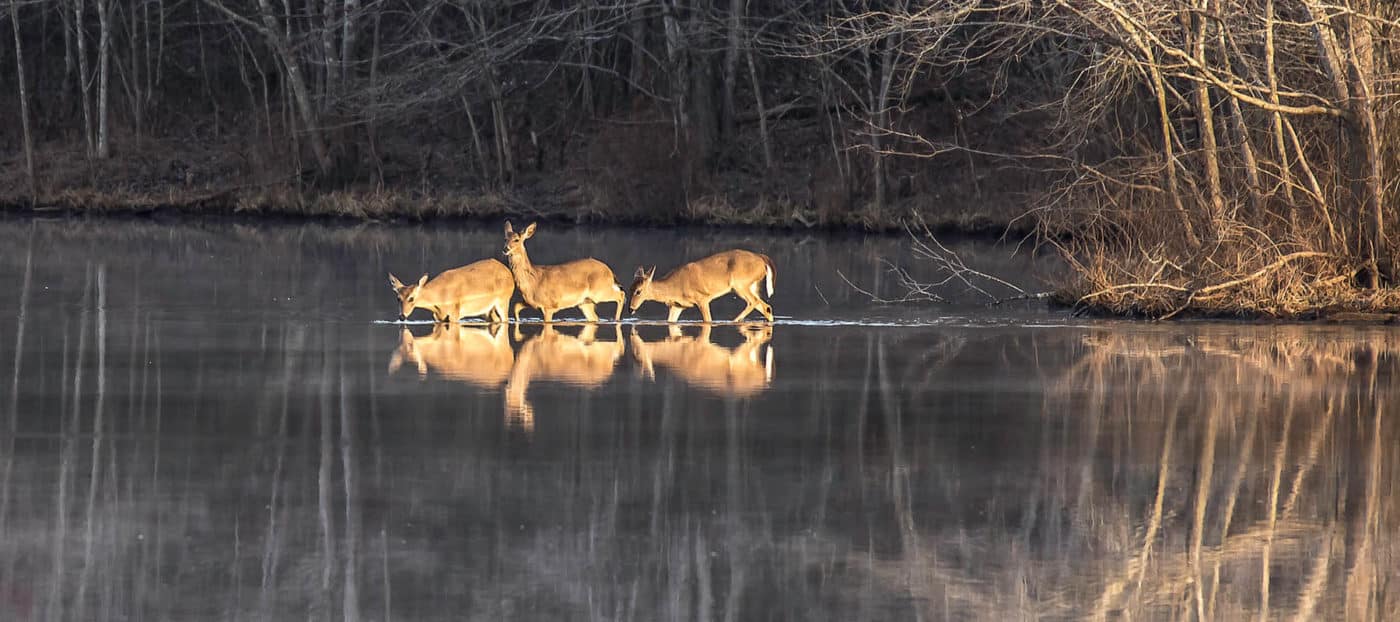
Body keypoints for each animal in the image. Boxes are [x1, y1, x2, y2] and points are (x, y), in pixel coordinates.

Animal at [628, 249, 775, 323]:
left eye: (638, 291)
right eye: (630, 289)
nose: (630, 309)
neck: (674, 288)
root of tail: (762, 259)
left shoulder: (702, 299)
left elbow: (708, 320)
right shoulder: (677, 306)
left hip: (740, 284)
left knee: (754, 301)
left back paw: (735, 320)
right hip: (751, 285)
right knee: (766, 307)